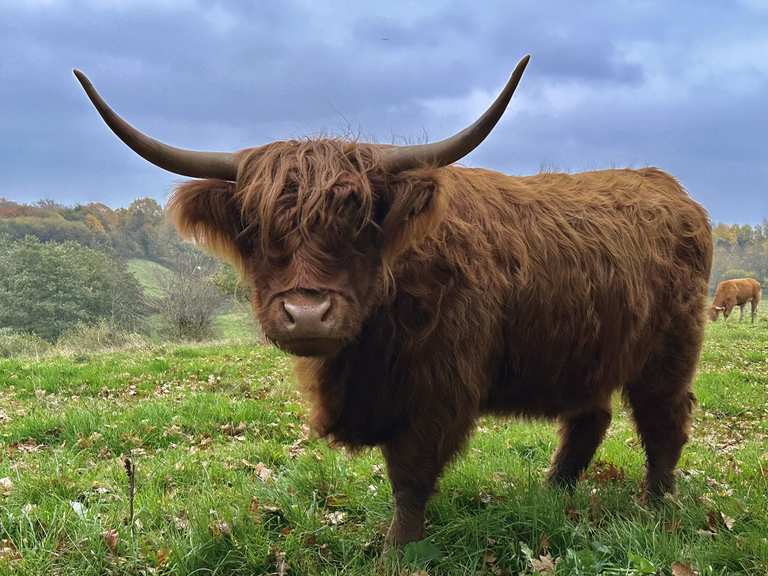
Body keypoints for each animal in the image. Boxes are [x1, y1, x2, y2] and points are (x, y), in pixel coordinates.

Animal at [74, 55, 713, 545]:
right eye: (256, 228)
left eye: (360, 223)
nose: (307, 314)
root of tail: (668, 187)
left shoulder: (437, 389)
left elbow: (409, 475)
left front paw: (397, 551)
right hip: (586, 352)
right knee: (589, 418)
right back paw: (553, 493)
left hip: (670, 350)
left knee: (664, 420)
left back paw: (657, 509)